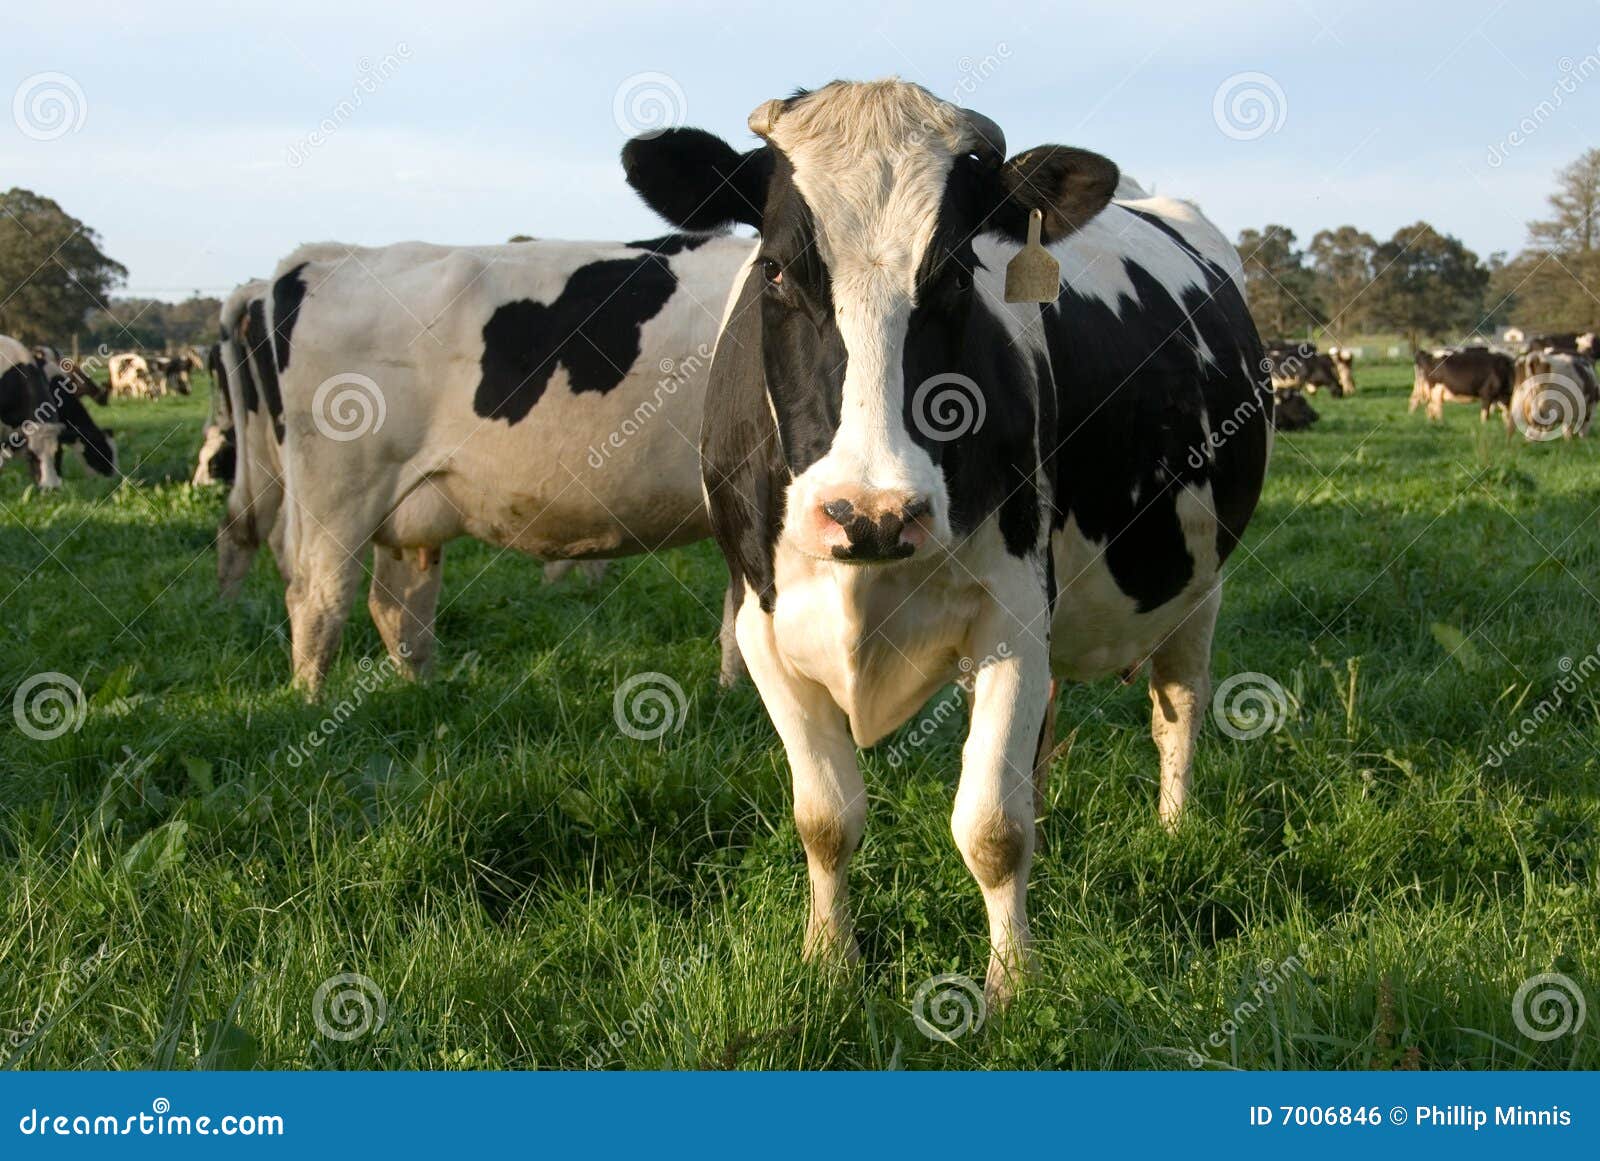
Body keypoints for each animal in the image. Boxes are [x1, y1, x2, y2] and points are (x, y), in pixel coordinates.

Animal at [236, 234, 756, 691]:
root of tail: (327, 255)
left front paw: (729, 695)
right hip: (339, 496)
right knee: (319, 601)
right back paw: (310, 703)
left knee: (396, 608)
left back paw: (421, 695)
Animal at [622, 79, 1272, 999]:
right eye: (776, 269)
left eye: (958, 273)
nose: (871, 511)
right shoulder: (761, 622)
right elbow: (826, 816)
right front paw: (829, 960)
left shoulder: (1014, 615)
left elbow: (992, 826)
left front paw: (1012, 984)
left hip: (1199, 583)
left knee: (1177, 707)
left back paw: (1175, 833)